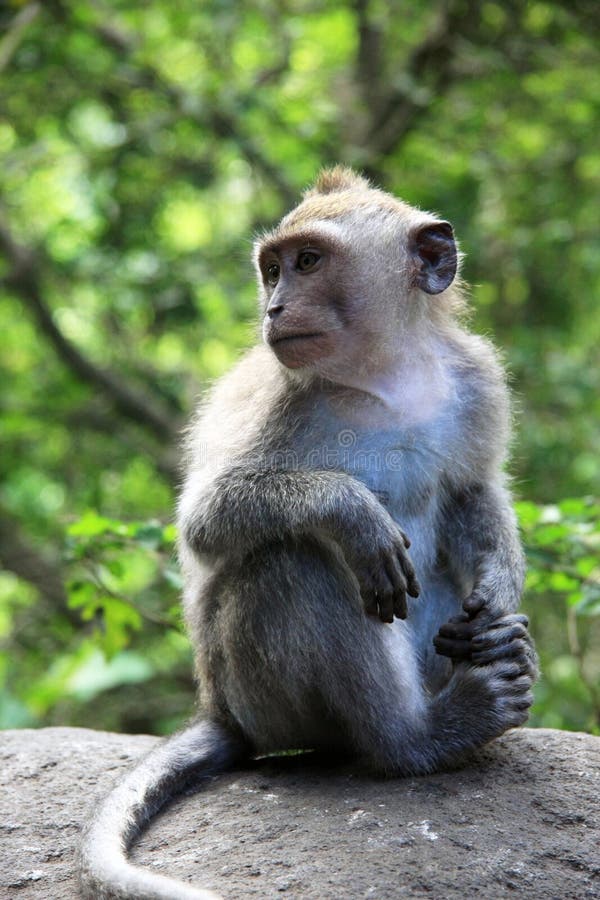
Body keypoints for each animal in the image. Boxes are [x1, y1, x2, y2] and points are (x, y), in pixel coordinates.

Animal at [79, 167, 537, 900]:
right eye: (273, 270)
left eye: (309, 262)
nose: (274, 308)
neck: (386, 377)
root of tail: (219, 709)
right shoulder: (281, 395)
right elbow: (205, 518)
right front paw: (351, 512)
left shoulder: (478, 379)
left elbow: (474, 491)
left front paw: (497, 602)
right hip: (261, 698)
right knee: (295, 562)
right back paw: (416, 738)